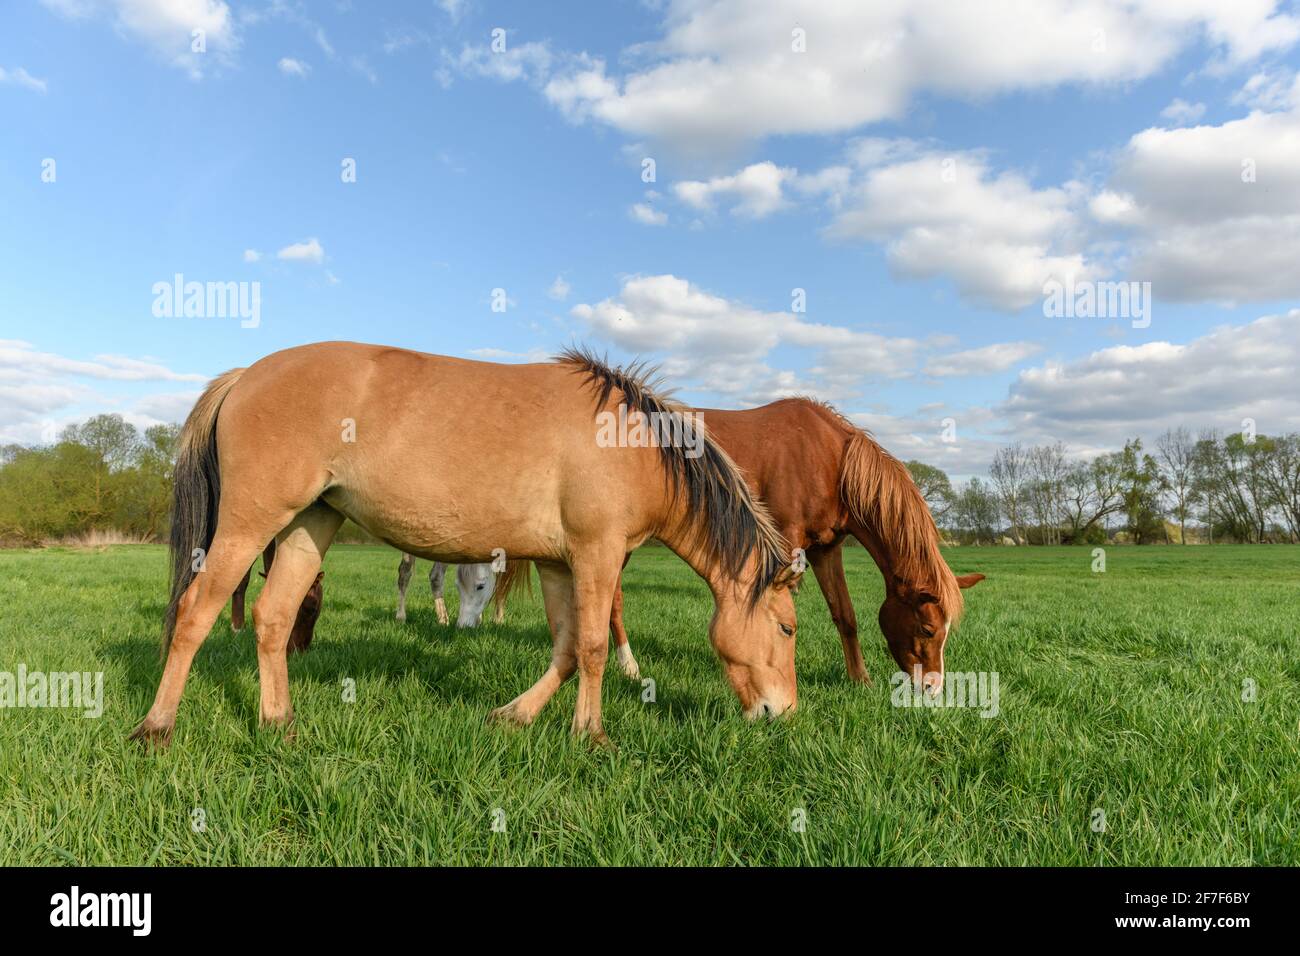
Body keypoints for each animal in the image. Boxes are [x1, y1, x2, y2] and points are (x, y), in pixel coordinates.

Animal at [130, 342, 796, 748]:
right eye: (789, 629)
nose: (781, 714)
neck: (630, 442)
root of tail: (245, 375)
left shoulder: (559, 565)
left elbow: (566, 650)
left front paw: (515, 715)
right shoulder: (597, 556)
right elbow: (594, 647)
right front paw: (591, 735)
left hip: (306, 527)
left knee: (272, 618)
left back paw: (279, 723)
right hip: (248, 525)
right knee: (195, 613)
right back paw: (157, 726)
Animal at [499, 398, 983, 692]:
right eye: (927, 629)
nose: (932, 688)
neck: (829, 458)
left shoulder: (826, 549)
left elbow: (844, 616)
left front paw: (859, 679)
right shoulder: (785, 546)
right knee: (612, 599)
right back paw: (629, 665)